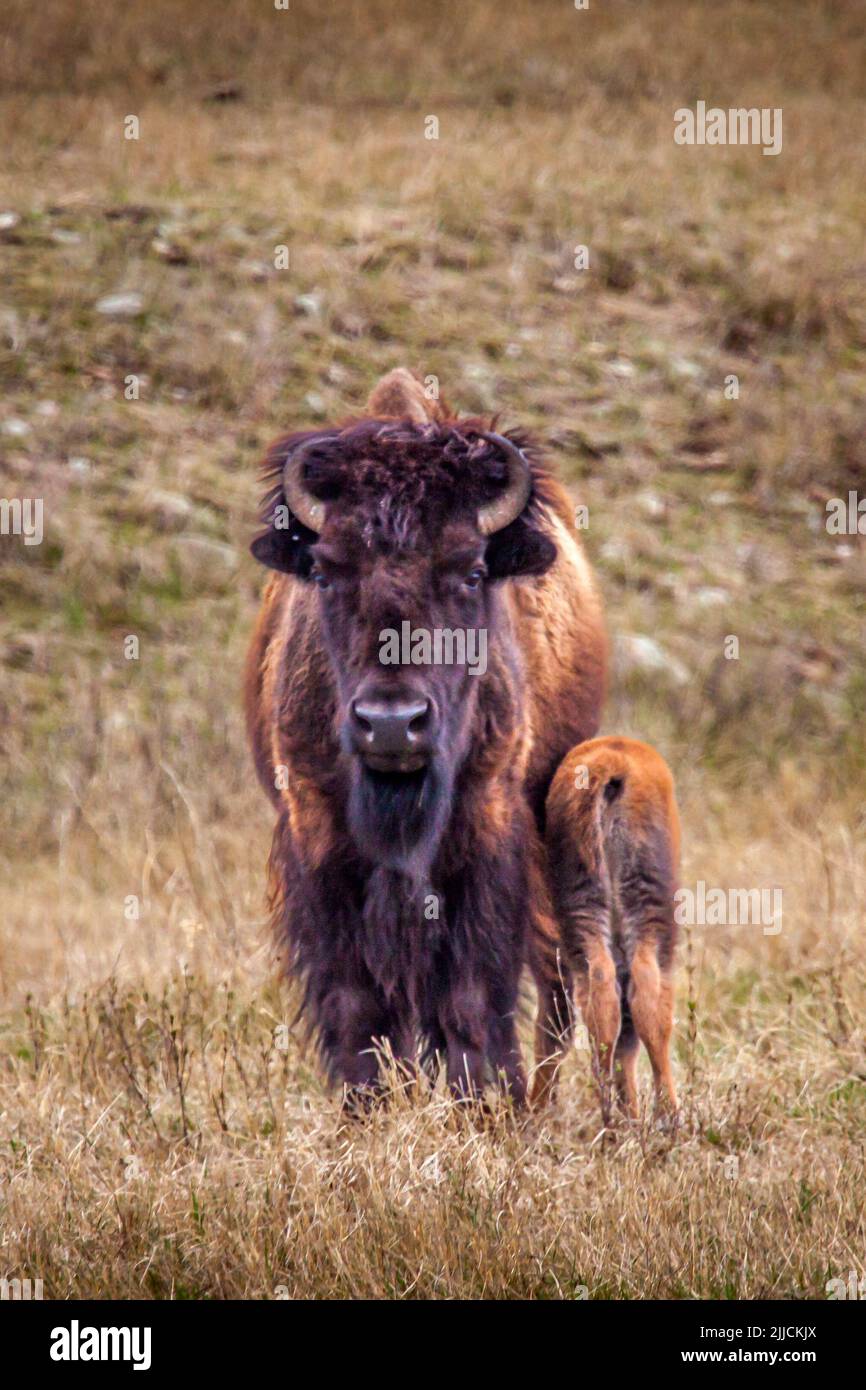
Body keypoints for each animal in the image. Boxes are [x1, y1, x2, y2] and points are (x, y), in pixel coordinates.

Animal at [244, 368, 606, 1107]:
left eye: (471, 572)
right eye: (324, 571)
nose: (391, 723)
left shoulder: (487, 823)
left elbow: (471, 991)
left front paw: (484, 1101)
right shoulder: (316, 830)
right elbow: (356, 1000)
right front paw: (366, 1106)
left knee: (556, 972)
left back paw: (539, 1097)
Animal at [545, 736, 680, 1125]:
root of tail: (613, 759)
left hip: (584, 910)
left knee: (604, 1001)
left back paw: (613, 1119)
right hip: (651, 916)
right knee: (650, 999)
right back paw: (669, 1118)